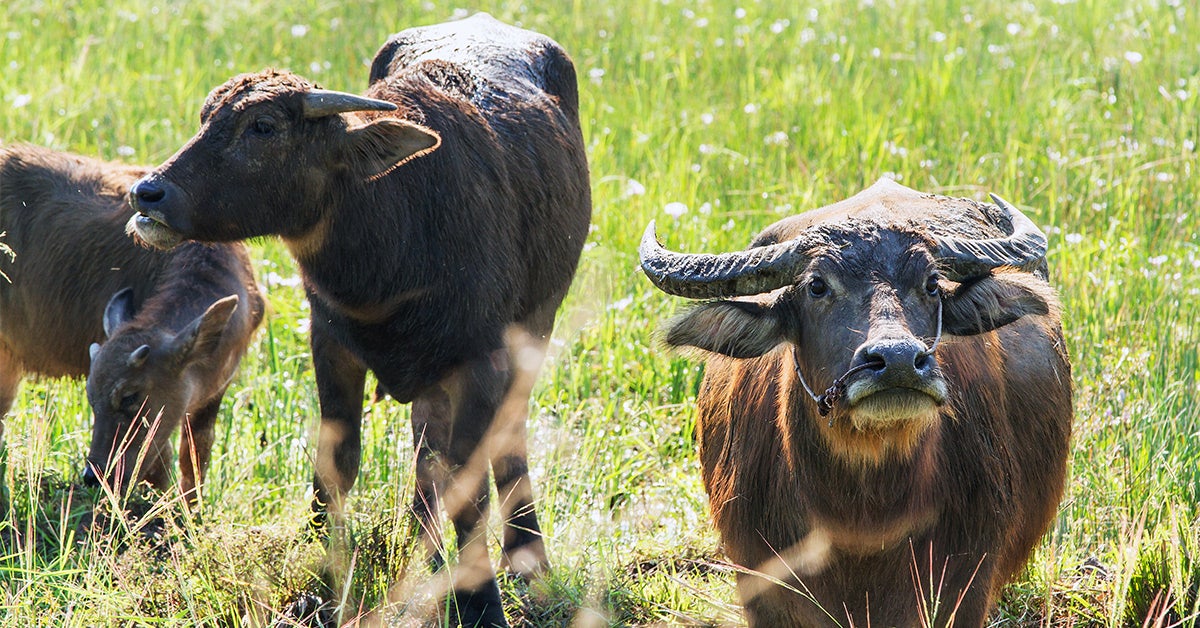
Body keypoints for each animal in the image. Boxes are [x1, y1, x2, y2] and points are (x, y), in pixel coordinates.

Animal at [0, 143, 263, 510]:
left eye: (130, 396)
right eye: (91, 398)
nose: (94, 476)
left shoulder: (213, 394)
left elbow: (196, 457)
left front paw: (191, 512)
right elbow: (160, 469)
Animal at [127, 14, 590, 626]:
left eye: (262, 127)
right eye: (207, 115)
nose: (147, 193)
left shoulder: (481, 360)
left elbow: (473, 485)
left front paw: (483, 603)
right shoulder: (331, 344)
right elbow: (337, 465)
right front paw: (326, 579)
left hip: (534, 330)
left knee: (505, 444)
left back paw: (526, 562)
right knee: (427, 452)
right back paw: (423, 554)